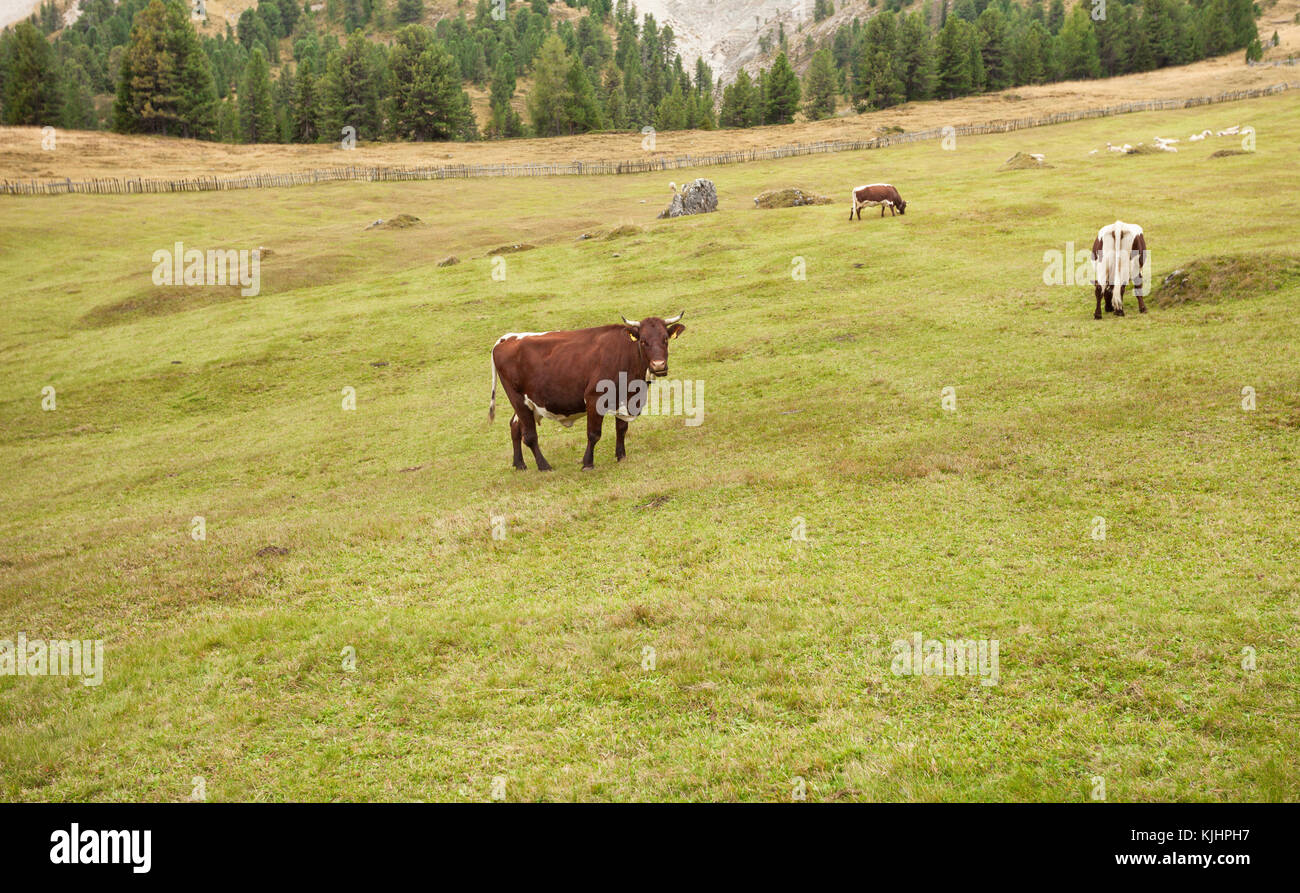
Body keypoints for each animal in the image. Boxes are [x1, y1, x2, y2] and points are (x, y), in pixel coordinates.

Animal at [489, 313, 686, 471]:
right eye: (643, 341)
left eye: (665, 339)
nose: (659, 365)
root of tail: (506, 339)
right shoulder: (594, 398)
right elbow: (594, 433)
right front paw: (587, 463)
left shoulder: (624, 399)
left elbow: (621, 428)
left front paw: (621, 456)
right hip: (518, 399)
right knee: (529, 436)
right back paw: (544, 466)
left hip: (529, 403)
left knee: (515, 426)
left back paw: (519, 464)